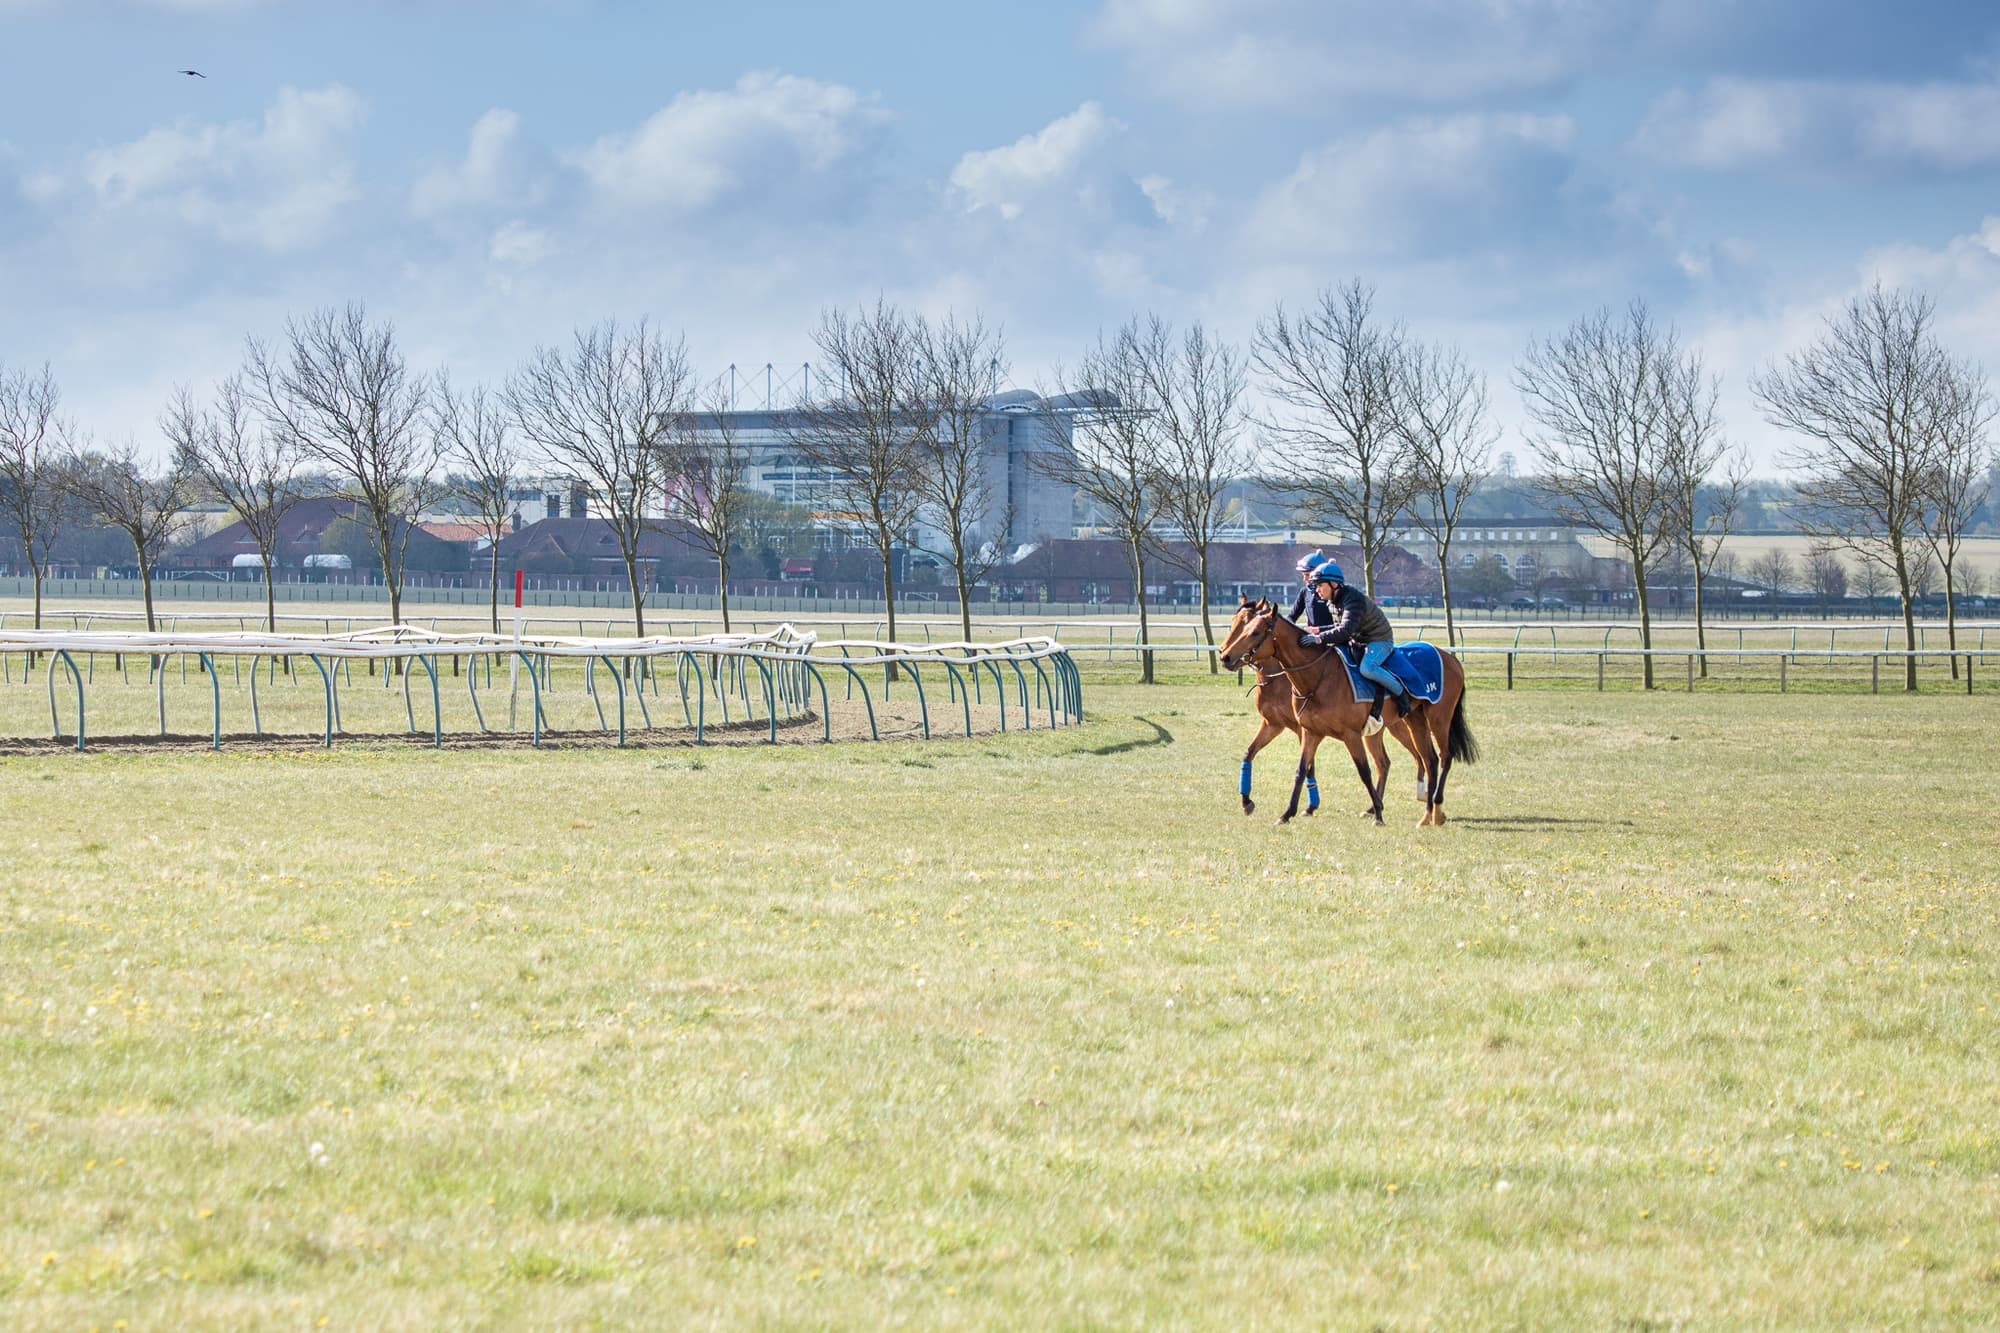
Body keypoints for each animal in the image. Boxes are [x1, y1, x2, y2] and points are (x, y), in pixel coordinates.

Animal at [1219, 597, 1479, 827]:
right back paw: (1425, 814)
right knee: (1424, 759)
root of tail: (1451, 659)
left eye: (1254, 632)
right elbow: (1298, 769)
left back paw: (1434, 807)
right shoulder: (1303, 730)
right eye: (1238, 625)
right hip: (1412, 720)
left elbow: (1363, 772)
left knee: (1442, 757)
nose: (1225, 655)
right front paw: (1284, 813)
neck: (1318, 677)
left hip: (1438, 718)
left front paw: (1378, 816)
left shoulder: (1349, 734)